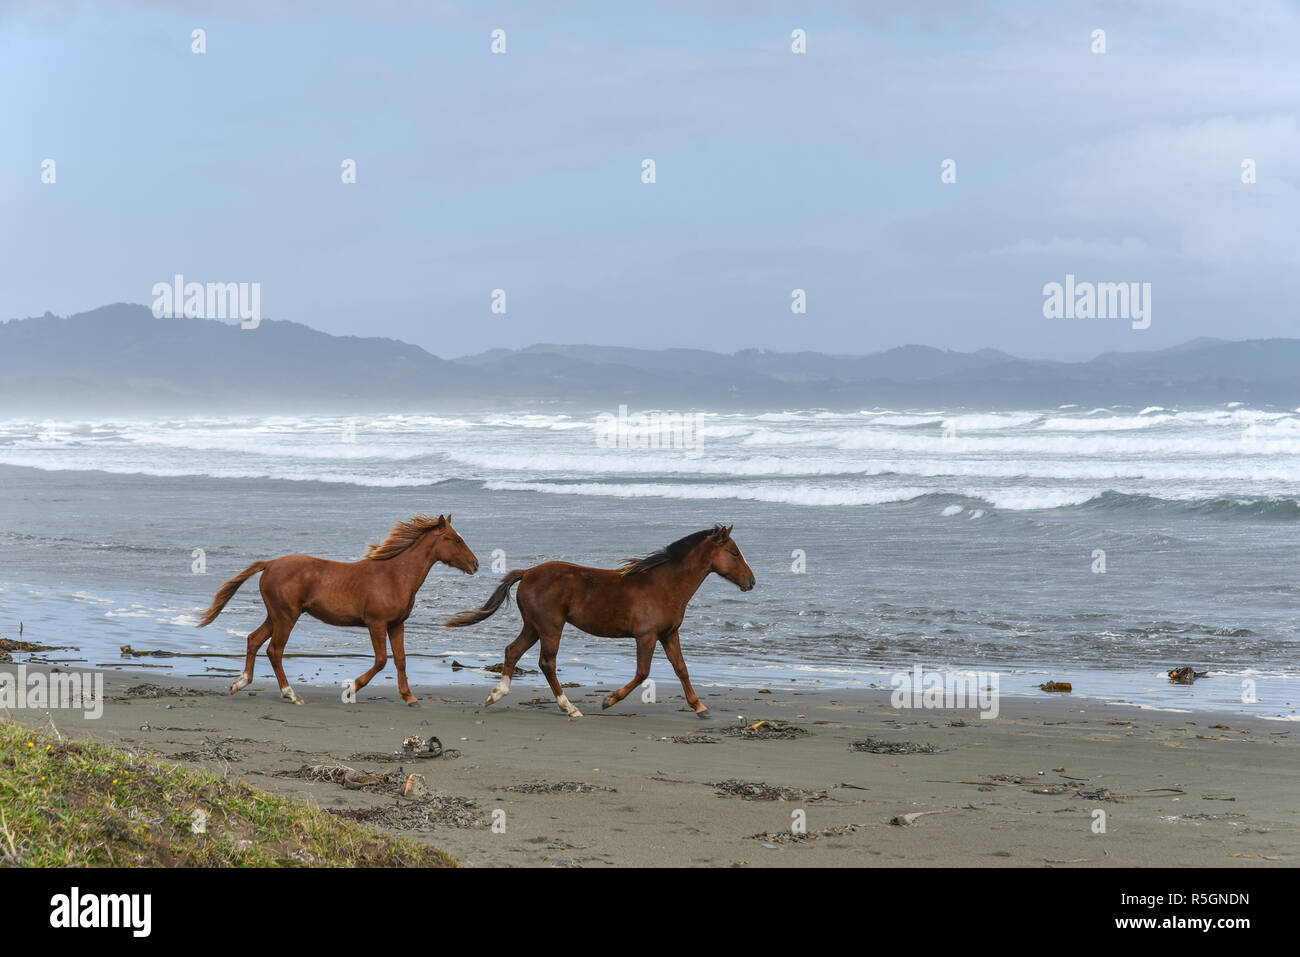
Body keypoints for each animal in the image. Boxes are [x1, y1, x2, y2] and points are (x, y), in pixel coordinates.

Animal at [197, 514, 478, 705]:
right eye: (456, 539)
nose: (475, 564)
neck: (395, 576)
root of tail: (270, 564)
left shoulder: (397, 624)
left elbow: (401, 660)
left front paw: (409, 697)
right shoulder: (376, 623)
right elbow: (381, 660)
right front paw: (351, 689)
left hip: (275, 615)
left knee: (254, 640)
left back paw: (240, 683)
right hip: (286, 616)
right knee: (274, 651)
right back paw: (291, 694)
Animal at [443, 524, 754, 718]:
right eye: (734, 553)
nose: (751, 581)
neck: (664, 585)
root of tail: (528, 573)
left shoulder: (669, 634)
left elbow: (682, 669)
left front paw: (700, 707)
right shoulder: (647, 636)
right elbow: (643, 672)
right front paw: (608, 700)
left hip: (533, 626)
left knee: (513, 651)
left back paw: (496, 695)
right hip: (550, 627)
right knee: (547, 663)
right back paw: (569, 708)